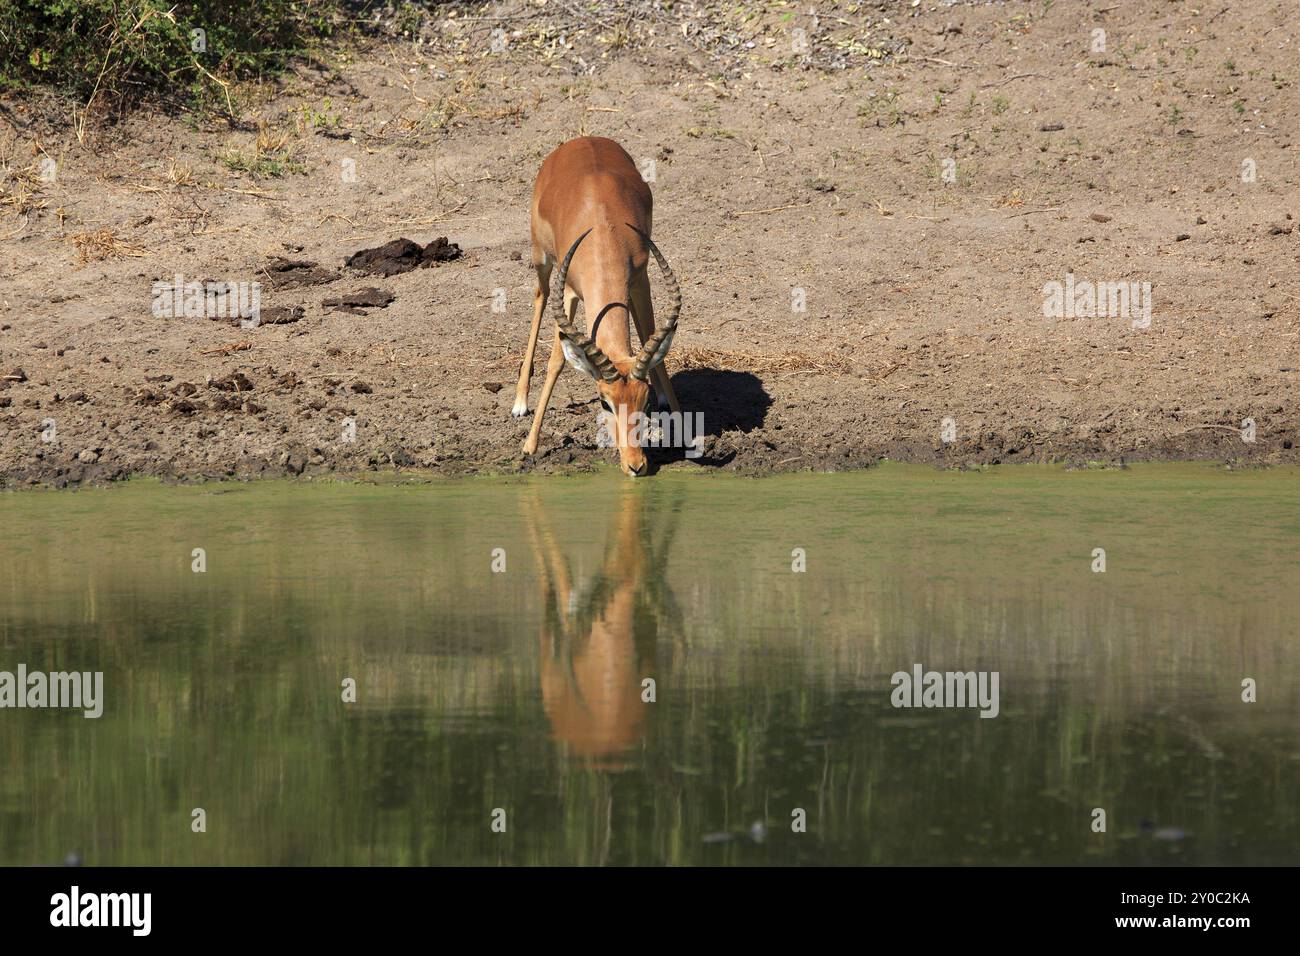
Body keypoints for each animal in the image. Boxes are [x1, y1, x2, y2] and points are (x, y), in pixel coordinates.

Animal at [513, 136, 683, 477]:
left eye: (643, 402)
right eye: (605, 402)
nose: (636, 465)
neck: (603, 229)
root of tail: (582, 139)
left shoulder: (640, 280)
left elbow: (652, 344)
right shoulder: (568, 293)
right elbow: (557, 362)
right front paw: (530, 444)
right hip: (542, 260)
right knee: (540, 295)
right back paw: (520, 402)